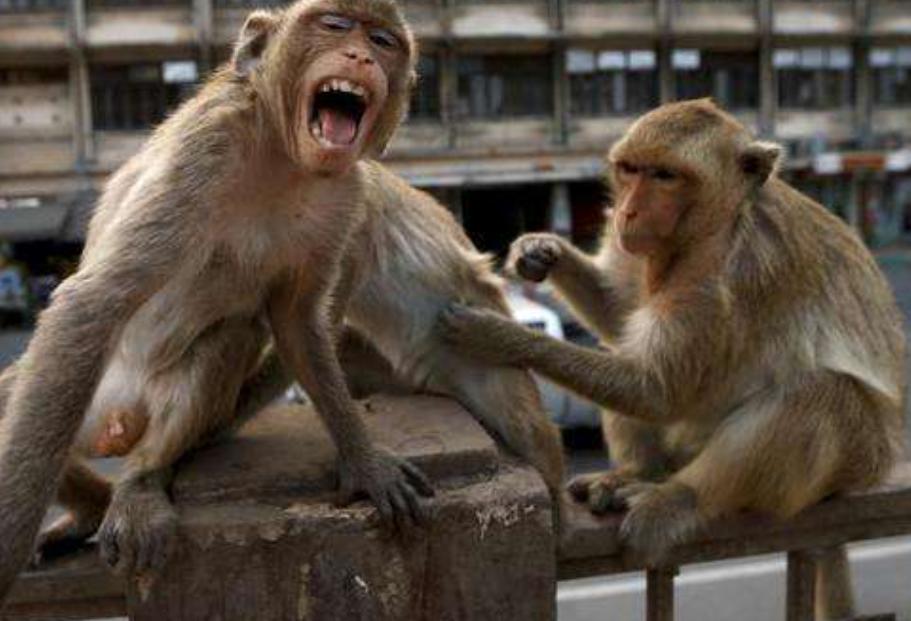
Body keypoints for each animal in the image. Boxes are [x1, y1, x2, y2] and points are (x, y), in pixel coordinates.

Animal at [0, 0, 435, 601]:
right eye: (335, 26)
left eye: (382, 41)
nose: (359, 57)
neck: (283, 155)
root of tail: (117, 424)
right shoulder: (207, 146)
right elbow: (94, 300)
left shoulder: (348, 192)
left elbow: (296, 321)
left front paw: (364, 460)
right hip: (83, 398)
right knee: (19, 392)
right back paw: (96, 504)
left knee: (229, 339)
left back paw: (137, 482)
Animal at [438, 99, 906, 619]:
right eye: (630, 169)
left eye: (665, 176)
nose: (628, 211)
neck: (711, 228)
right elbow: (623, 317)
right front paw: (542, 251)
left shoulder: (723, 279)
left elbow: (656, 390)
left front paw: (496, 336)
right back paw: (636, 473)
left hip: (858, 462)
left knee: (819, 394)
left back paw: (680, 498)